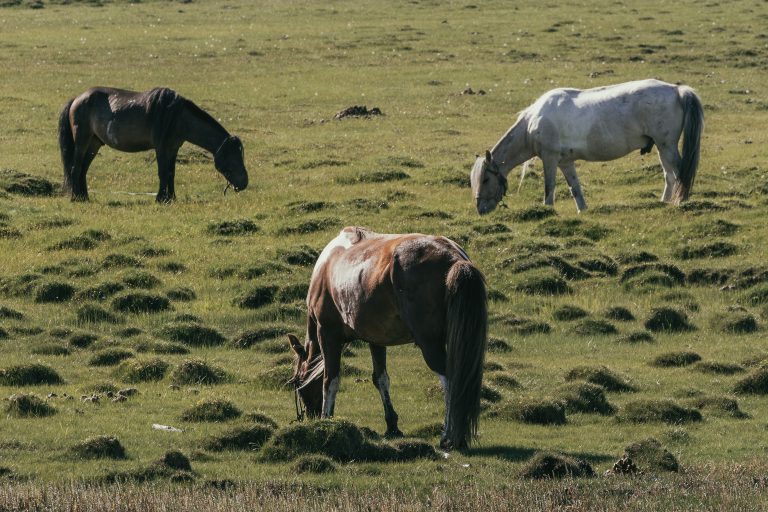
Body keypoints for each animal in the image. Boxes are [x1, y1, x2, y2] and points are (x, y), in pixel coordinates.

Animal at [57, 87, 249, 202]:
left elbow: (171, 173)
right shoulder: (161, 148)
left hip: (94, 144)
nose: (244, 182)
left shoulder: (172, 148)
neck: (176, 115)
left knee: (83, 169)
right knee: (75, 168)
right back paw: (75, 198)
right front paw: (161, 198)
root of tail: (77, 98)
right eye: (233, 158)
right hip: (82, 141)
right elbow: (163, 172)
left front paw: (171, 198)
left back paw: (84, 197)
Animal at [286, 226, 488, 450]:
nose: (310, 416)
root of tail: (454, 258)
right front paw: (392, 425)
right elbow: (381, 379)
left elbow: (330, 380)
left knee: (450, 381)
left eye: (296, 383)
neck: (328, 265)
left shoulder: (327, 334)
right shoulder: (376, 339)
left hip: (430, 344)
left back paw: (449, 436)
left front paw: (326, 421)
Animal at [471, 79, 703, 214]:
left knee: (679, 173)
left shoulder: (550, 158)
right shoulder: (565, 162)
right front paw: (583, 211)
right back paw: (665, 202)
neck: (533, 122)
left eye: (485, 179)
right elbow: (575, 188)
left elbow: (549, 187)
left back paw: (679, 202)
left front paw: (547, 211)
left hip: (667, 146)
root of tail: (677, 90)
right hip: (663, 148)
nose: (480, 209)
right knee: (669, 176)